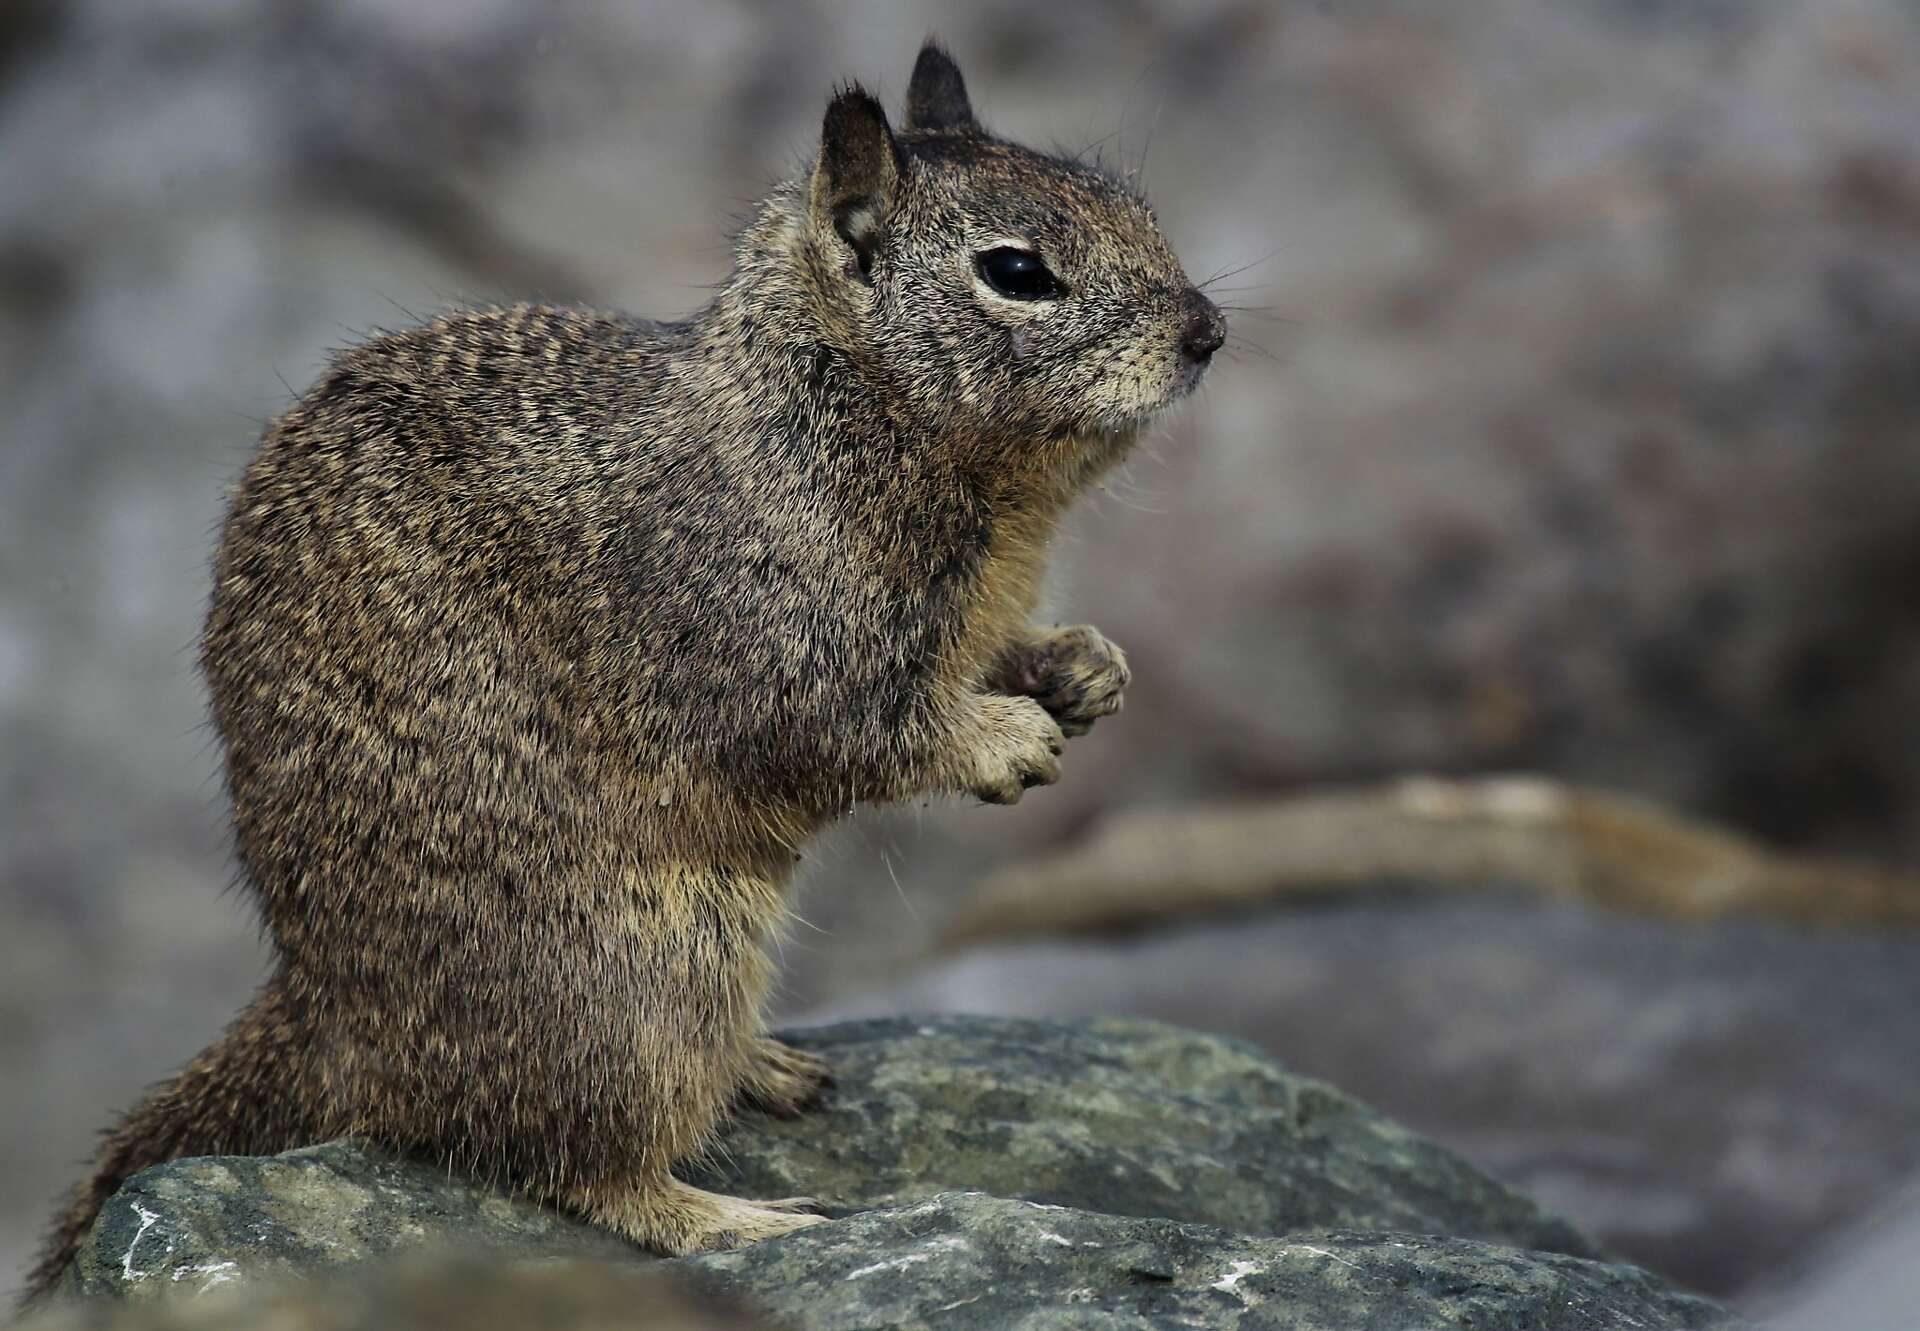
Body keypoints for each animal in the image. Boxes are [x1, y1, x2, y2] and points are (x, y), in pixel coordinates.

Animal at [25, 41, 1224, 1299]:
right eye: (1016, 270)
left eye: (1135, 204)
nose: (1208, 331)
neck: (844, 412)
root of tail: (331, 1017)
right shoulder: (775, 645)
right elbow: (868, 732)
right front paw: (1008, 739)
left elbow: (1007, 651)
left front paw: (1083, 667)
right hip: (642, 983)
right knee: (579, 1169)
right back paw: (739, 1218)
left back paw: (766, 1070)